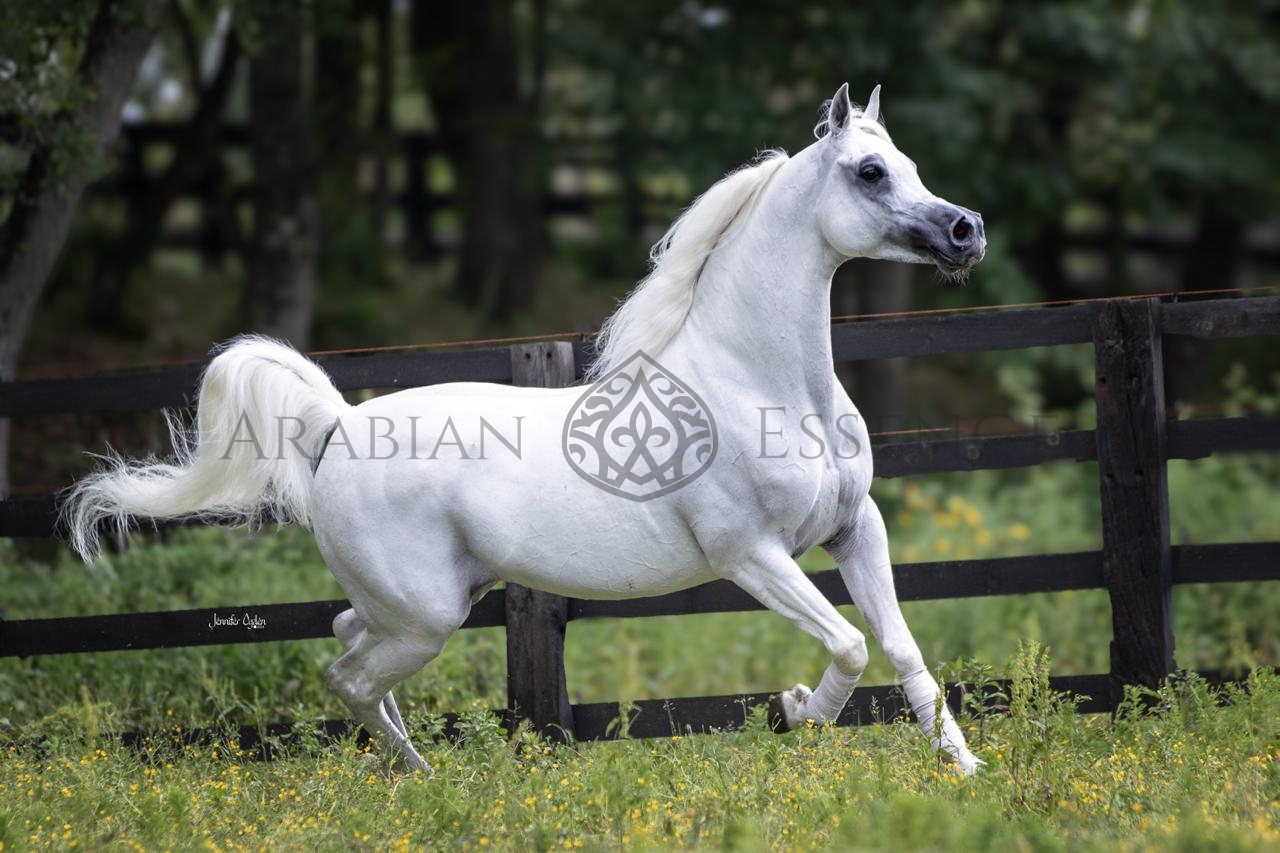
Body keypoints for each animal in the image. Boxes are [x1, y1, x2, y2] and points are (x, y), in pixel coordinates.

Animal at [66, 84, 986, 775]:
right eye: (870, 171)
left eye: (909, 165)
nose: (966, 230)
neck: (759, 383)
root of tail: (342, 423)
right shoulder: (751, 554)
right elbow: (850, 646)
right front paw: (797, 712)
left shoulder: (856, 528)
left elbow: (901, 649)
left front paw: (966, 770)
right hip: (428, 614)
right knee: (346, 675)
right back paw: (426, 781)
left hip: (422, 601)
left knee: (344, 642)